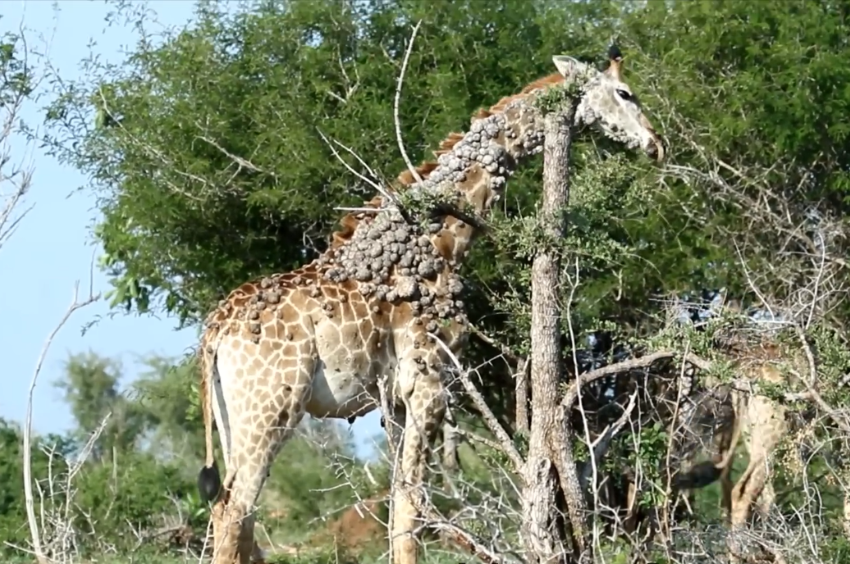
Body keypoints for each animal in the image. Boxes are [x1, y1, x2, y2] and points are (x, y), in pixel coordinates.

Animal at [195, 45, 665, 564]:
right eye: (625, 92)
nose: (656, 145)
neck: (443, 237)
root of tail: (214, 336)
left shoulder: (396, 400)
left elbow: (402, 500)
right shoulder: (428, 379)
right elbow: (411, 504)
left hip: (232, 420)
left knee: (234, 513)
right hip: (271, 406)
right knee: (235, 508)